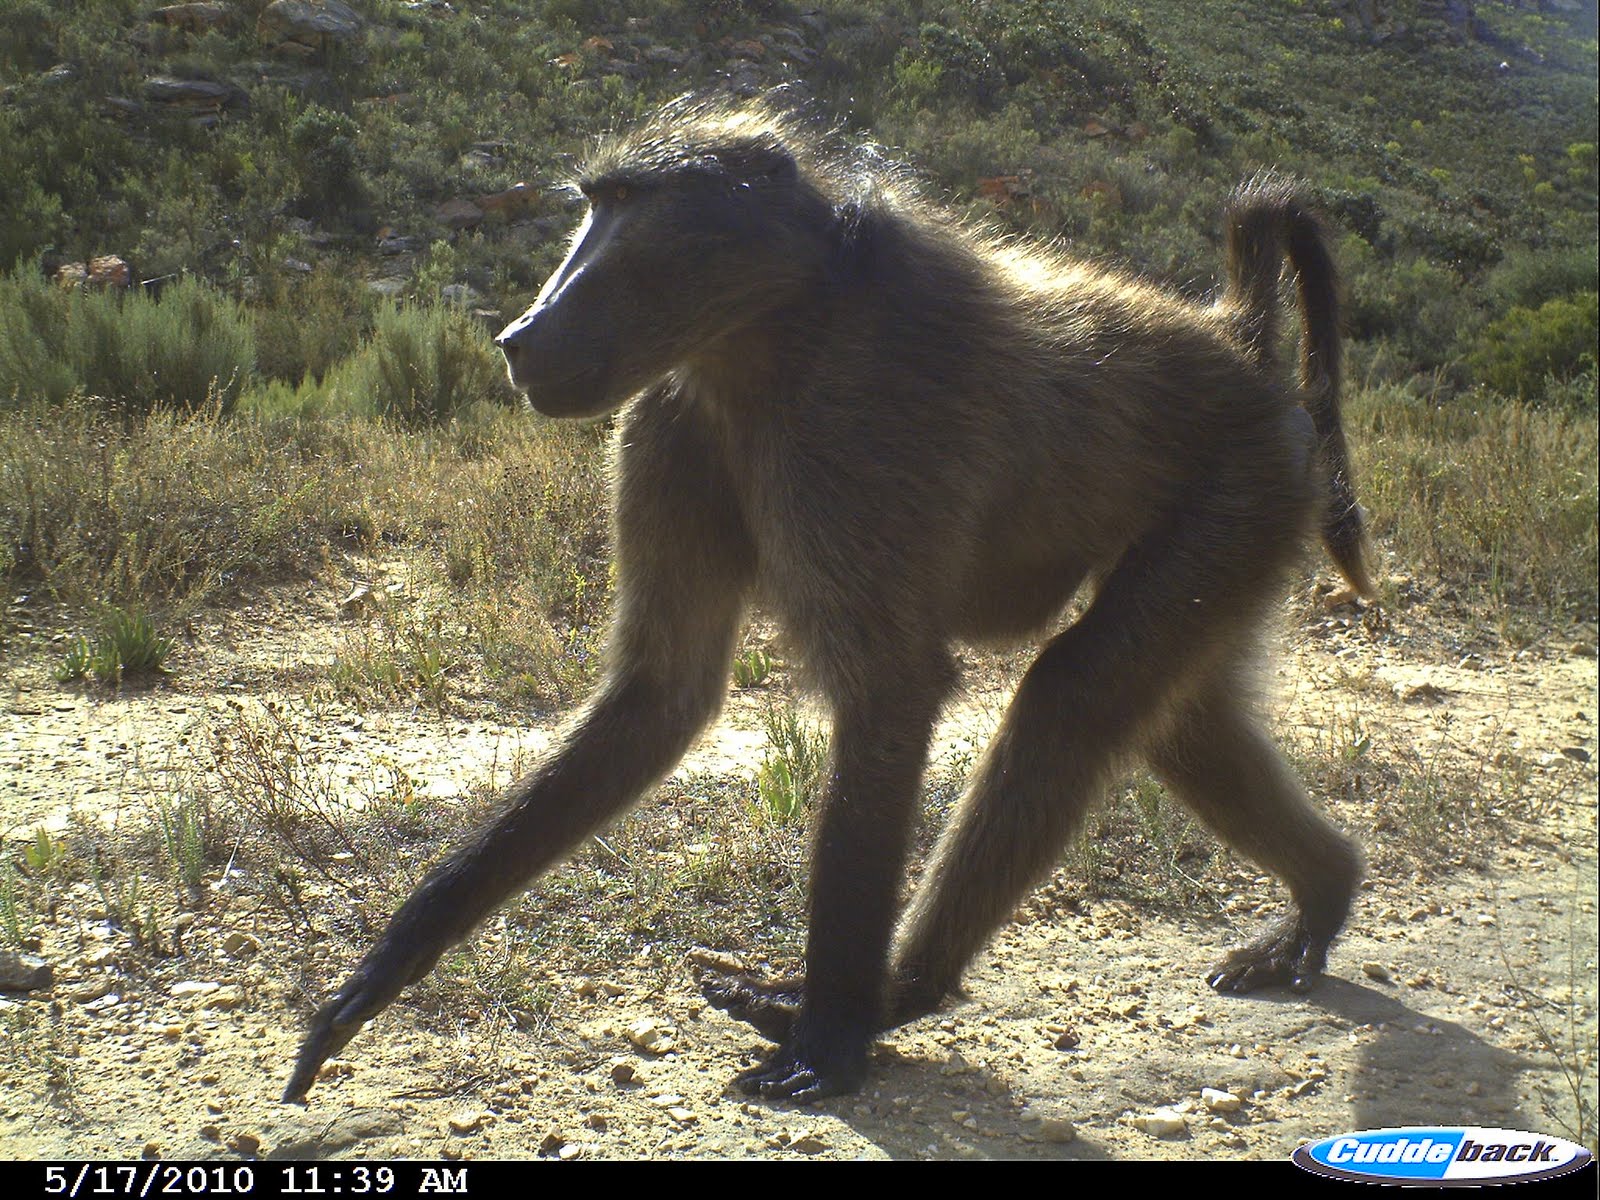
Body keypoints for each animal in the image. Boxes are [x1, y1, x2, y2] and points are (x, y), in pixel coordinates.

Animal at [284, 98, 1372, 1105]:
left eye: (625, 206)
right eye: (594, 203)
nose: (518, 337)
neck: (772, 328)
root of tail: (1237, 342)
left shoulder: (851, 427)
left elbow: (891, 689)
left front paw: (831, 1040)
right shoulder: (667, 423)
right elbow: (662, 696)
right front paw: (391, 961)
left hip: (1241, 490)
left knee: (1073, 697)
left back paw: (901, 993)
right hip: (1247, 522)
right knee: (1176, 722)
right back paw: (1324, 895)